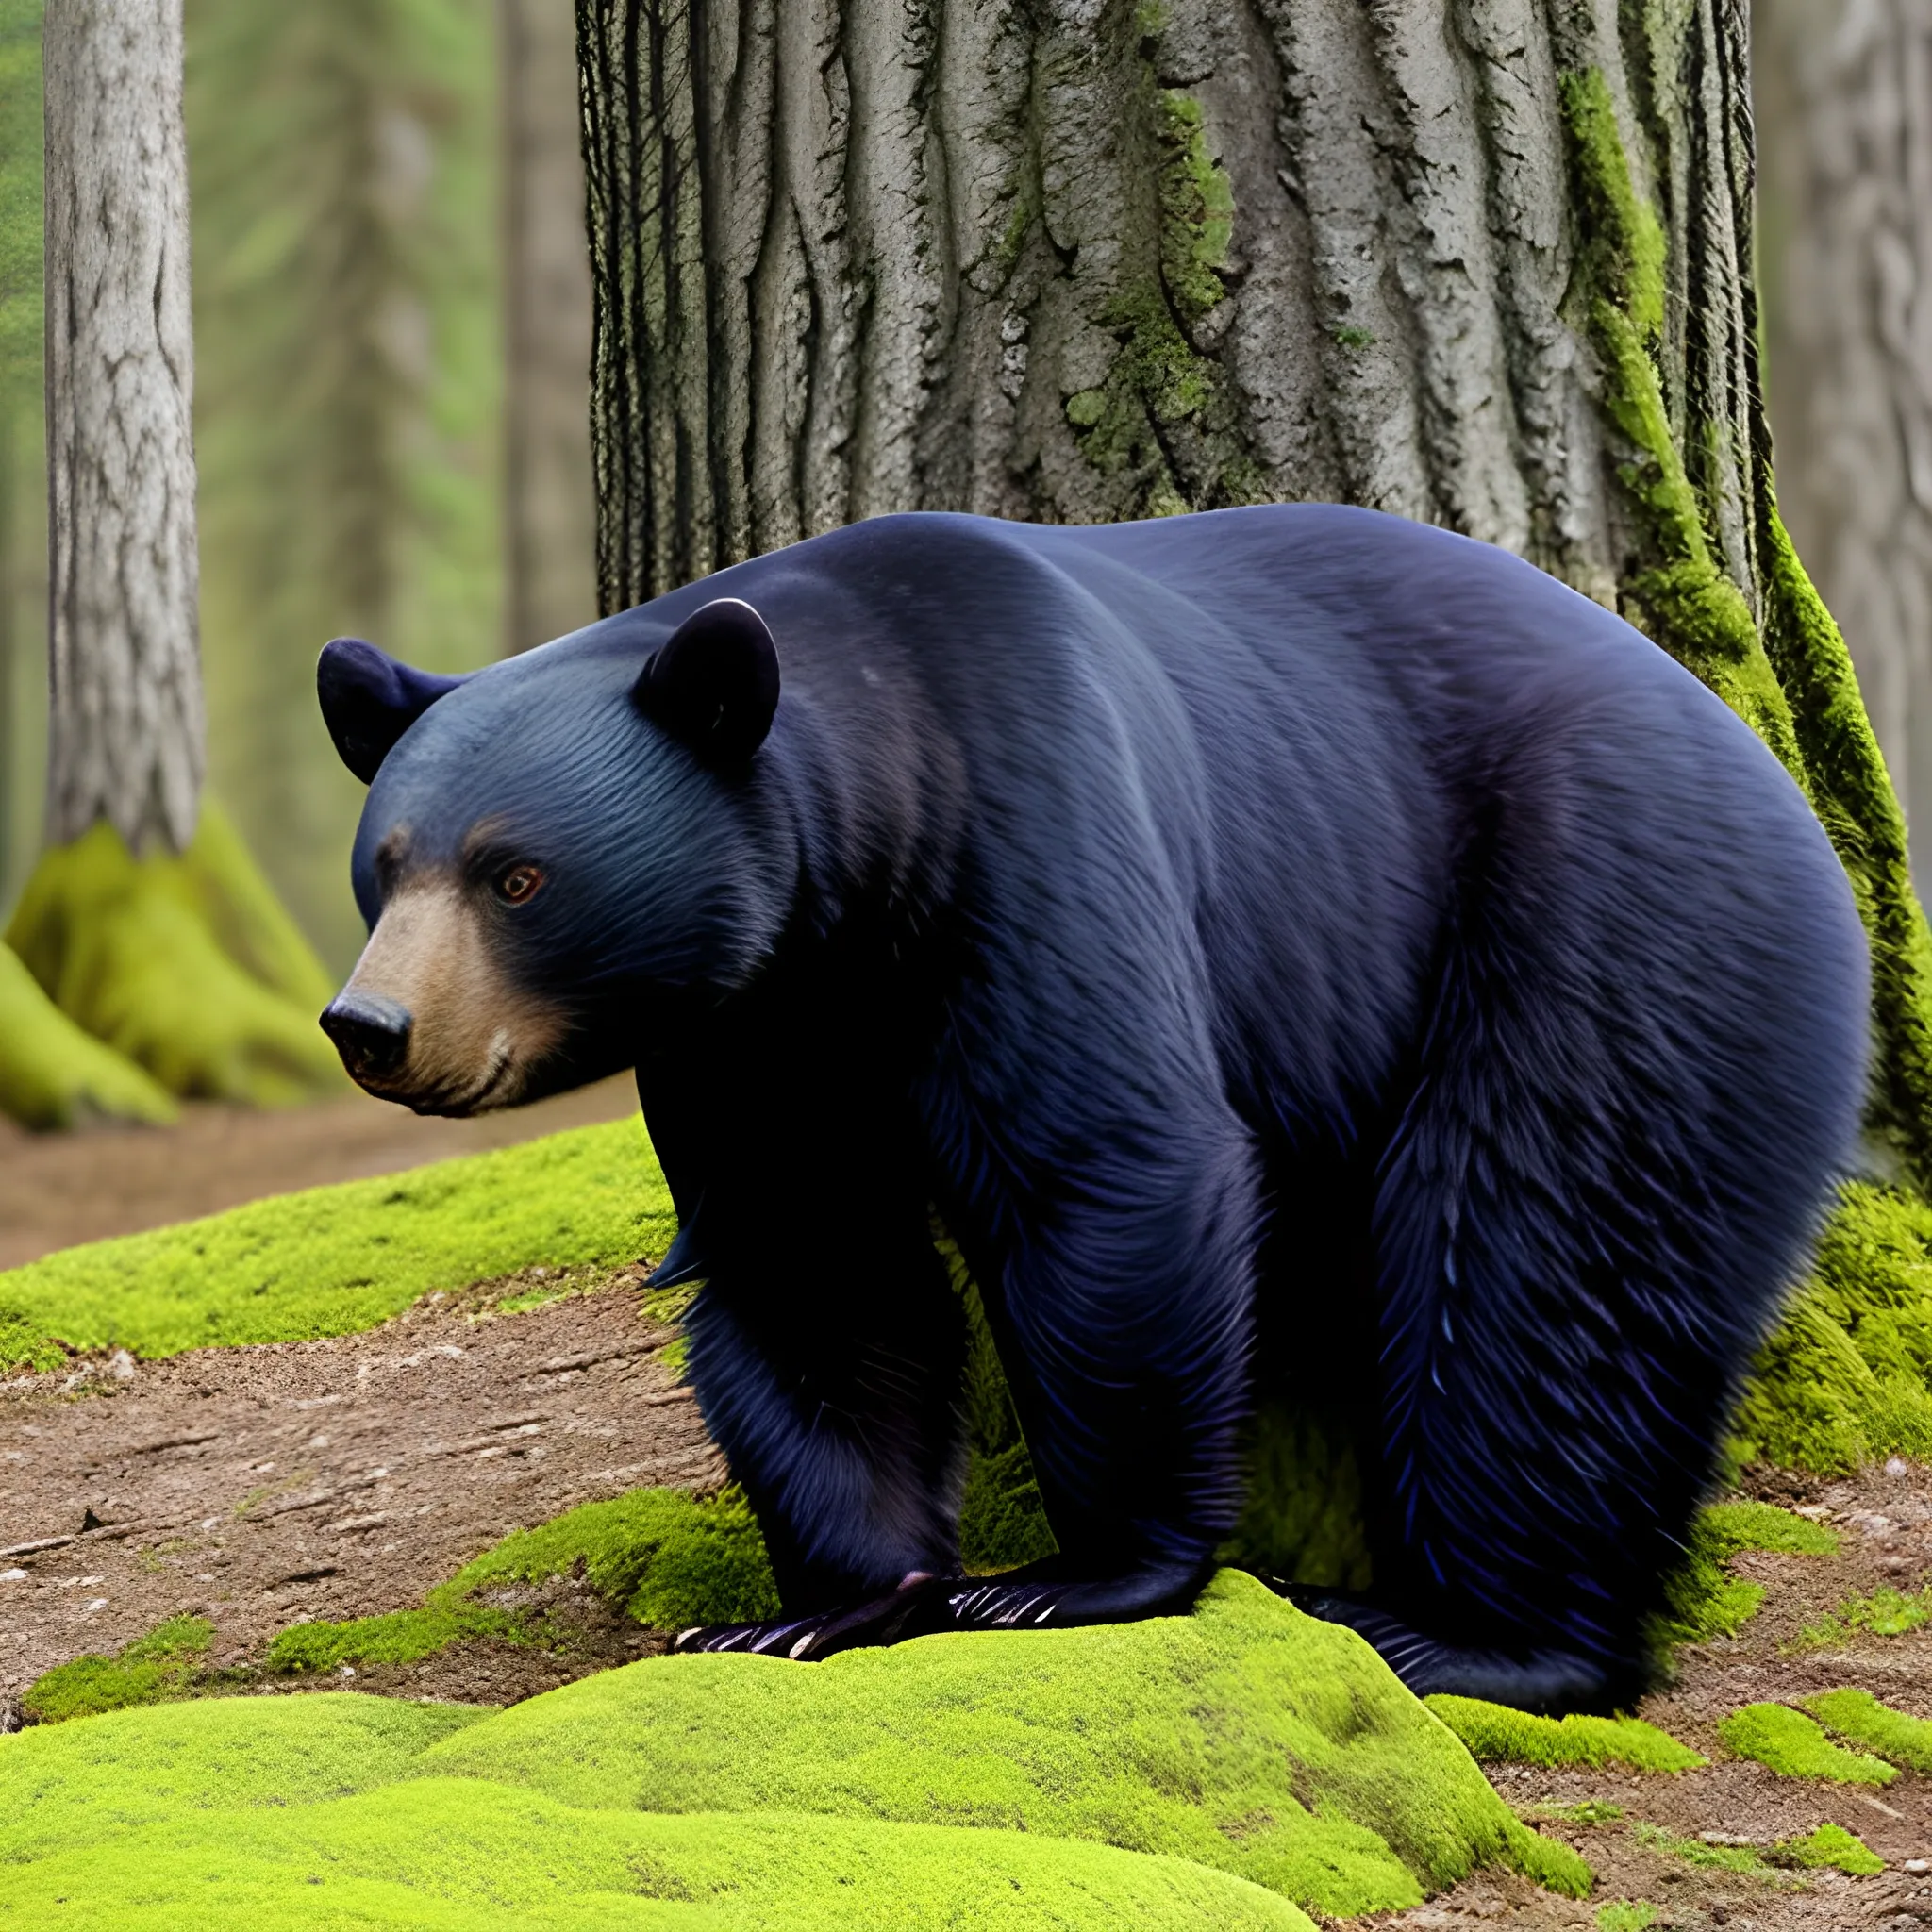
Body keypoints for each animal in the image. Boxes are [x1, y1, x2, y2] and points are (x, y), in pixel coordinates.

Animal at [316, 504, 1869, 1713]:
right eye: (383, 867)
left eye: (517, 875)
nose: (370, 1028)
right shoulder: (752, 1026)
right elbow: (809, 1257)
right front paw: (814, 1605)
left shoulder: (1029, 831)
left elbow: (1103, 1167)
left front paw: (1071, 1578)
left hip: (1607, 906)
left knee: (1540, 1256)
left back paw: (1480, 1634)